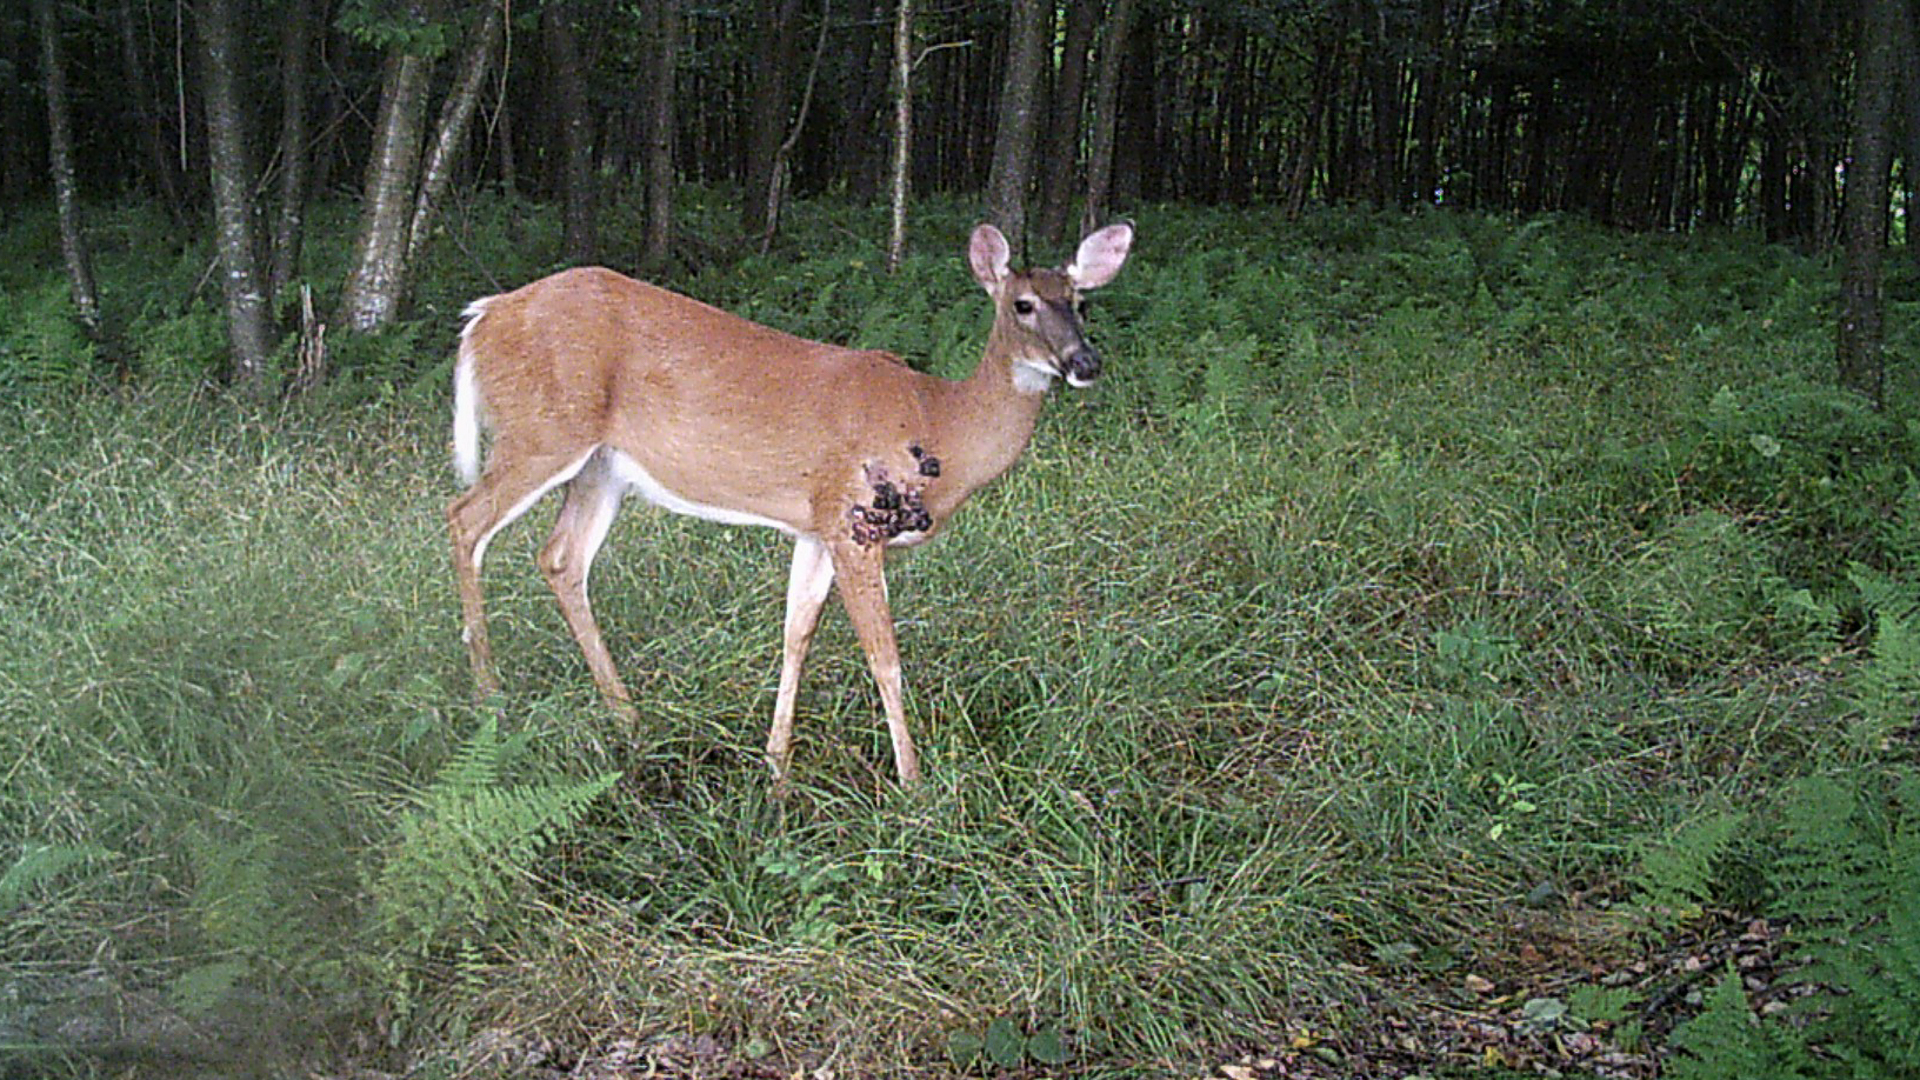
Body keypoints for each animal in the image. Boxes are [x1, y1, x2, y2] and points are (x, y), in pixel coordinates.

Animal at [447, 221, 1134, 789]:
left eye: (1080, 302)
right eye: (1022, 304)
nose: (1085, 362)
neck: (939, 420)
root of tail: (482, 317)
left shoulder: (815, 525)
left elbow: (795, 634)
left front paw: (776, 767)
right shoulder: (855, 517)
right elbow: (885, 659)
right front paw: (914, 784)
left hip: (599, 467)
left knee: (560, 558)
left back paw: (628, 718)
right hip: (542, 433)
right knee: (464, 520)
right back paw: (488, 702)